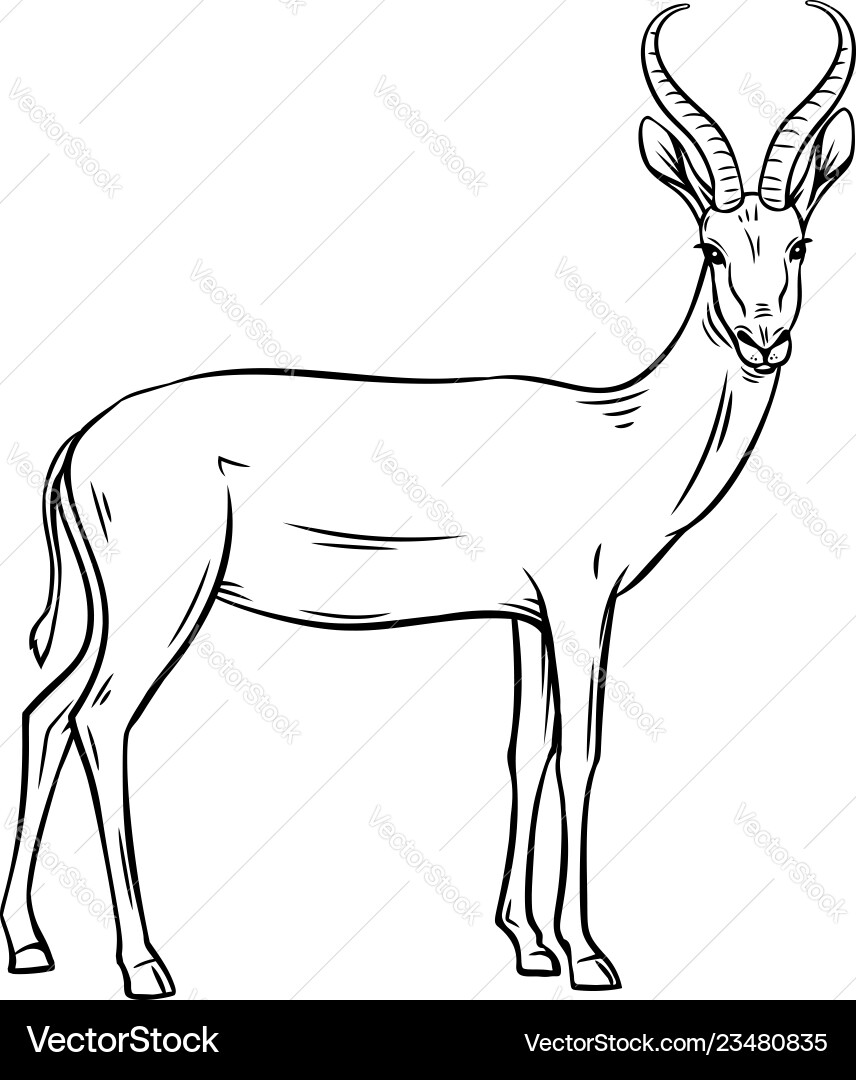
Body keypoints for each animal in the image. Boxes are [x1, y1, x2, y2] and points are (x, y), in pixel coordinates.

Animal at [2, 2, 853, 999]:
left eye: (797, 242)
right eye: (711, 246)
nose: (764, 339)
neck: (623, 426)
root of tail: (78, 442)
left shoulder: (524, 617)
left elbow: (526, 750)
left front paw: (527, 942)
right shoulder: (581, 604)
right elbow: (582, 756)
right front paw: (589, 955)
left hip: (102, 610)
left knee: (43, 712)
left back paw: (29, 943)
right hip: (162, 603)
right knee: (99, 722)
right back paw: (144, 964)